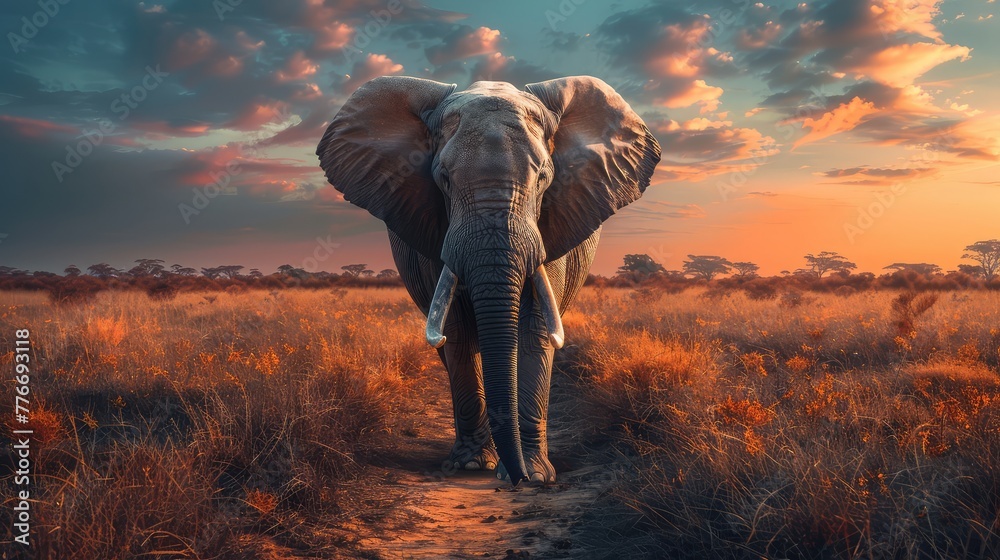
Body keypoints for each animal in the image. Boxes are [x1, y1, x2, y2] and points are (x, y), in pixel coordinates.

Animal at [316, 75, 660, 485]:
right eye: (443, 179)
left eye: (543, 178)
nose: (517, 479)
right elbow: (457, 331)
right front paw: (472, 466)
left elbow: (534, 330)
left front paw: (535, 474)